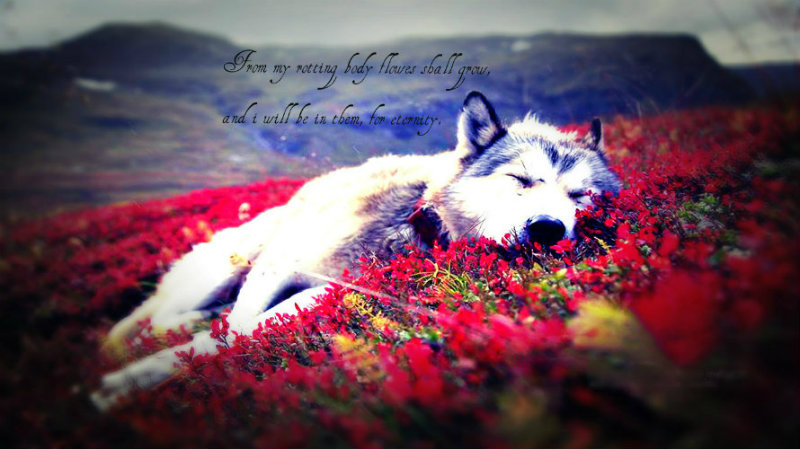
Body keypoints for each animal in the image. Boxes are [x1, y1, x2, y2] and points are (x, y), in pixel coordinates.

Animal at [92, 91, 620, 409]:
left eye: (580, 196)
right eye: (520, 179)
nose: (548, 228)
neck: (414, 222)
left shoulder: (331, 292)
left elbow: (244, 332)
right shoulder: (281, 263)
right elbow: (239, 329)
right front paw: (143, 374)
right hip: (233, 262)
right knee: (160, 318)